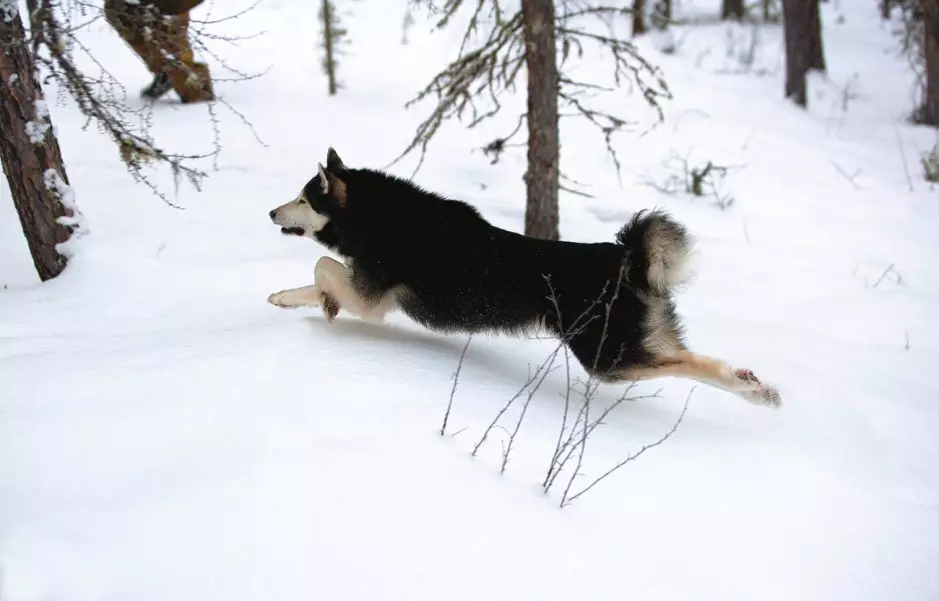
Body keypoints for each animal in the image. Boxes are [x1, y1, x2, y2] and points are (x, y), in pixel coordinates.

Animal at [268, 148, 784, 408]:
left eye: (303, 198)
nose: (272, 212)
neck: (380, 218)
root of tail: (623, 257)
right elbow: (313, 282)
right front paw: (287, 299)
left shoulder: (371, 298)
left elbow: (322, 269)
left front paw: (322, 304)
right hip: (632, 341)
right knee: (682, 355)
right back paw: (757, 390)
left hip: (605, 358)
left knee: (689, 363)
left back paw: (745, 383)